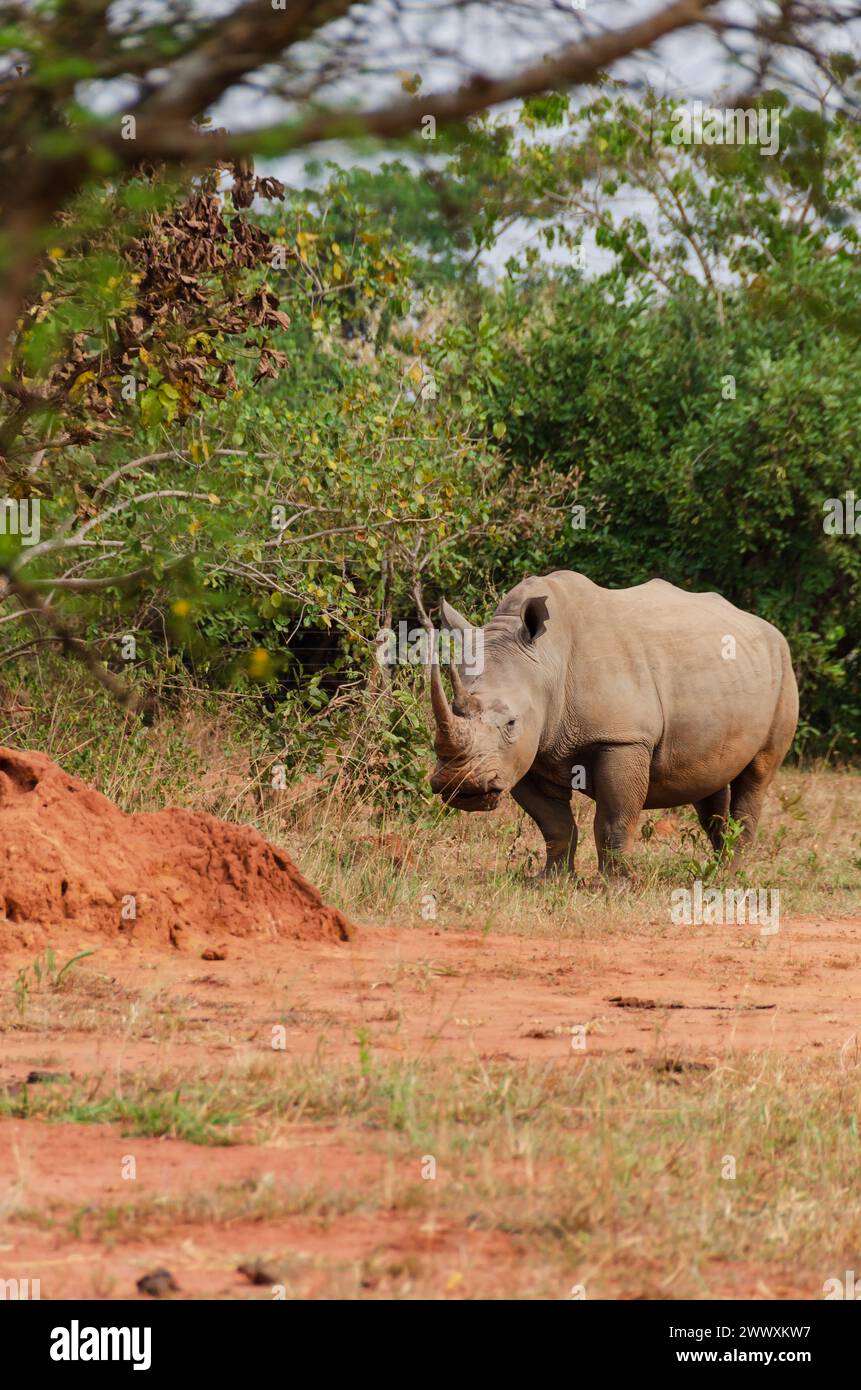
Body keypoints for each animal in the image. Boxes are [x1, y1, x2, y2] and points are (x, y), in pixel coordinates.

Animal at [427, 571, 798, 876]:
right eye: (455, 708)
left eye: (511, 722)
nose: (461, 785)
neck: (547, 663)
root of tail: (769, 630)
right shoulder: (525, 752)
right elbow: (553, 823)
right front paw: (551, 881)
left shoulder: (622, 738)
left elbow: (613, 820)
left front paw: (613, 885)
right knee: (710, 782)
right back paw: (717, 868)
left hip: (782, 668)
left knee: (756, 776)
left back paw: (727, 877)